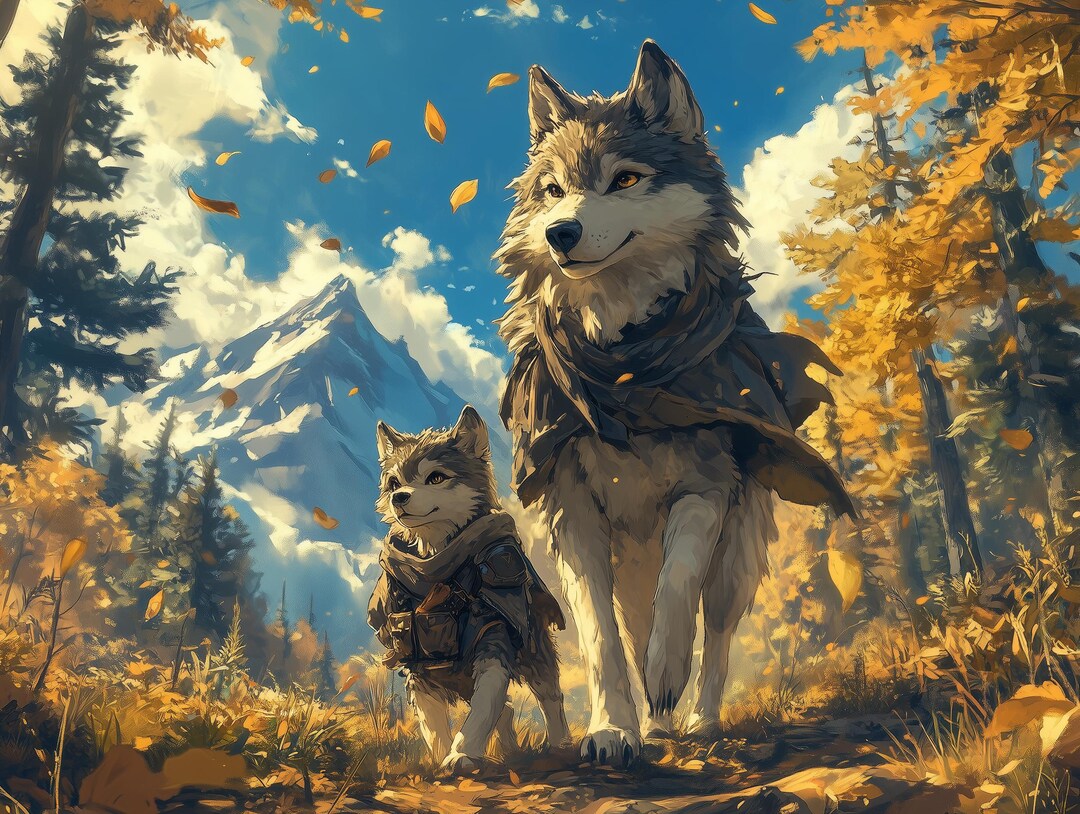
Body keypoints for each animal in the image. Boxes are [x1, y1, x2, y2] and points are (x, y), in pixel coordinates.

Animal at [367, 406, 571, 775]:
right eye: (394, 483)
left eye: (436, 478)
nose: (399, 497)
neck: (438, 569)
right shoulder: (418, 666)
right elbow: (435, 726)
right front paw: (442, 758)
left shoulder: (493, 642)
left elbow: (482, 708)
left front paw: (462, 753)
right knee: (506, 710)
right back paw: (508, 750)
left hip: (535, 650)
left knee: (549, 694)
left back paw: (560, 744)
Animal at [497, 40, 853, 765]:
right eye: (553, 191)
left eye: (625, 180)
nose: (559, 233)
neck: (627, 371)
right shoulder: (571, 511)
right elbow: (601, 639)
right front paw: (611, 730)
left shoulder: (705, 488)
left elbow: (678, 590)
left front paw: (667, 678)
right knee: (634, 625)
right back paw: (653, 726)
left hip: (736, 556)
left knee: (712, 630)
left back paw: (697, 719)